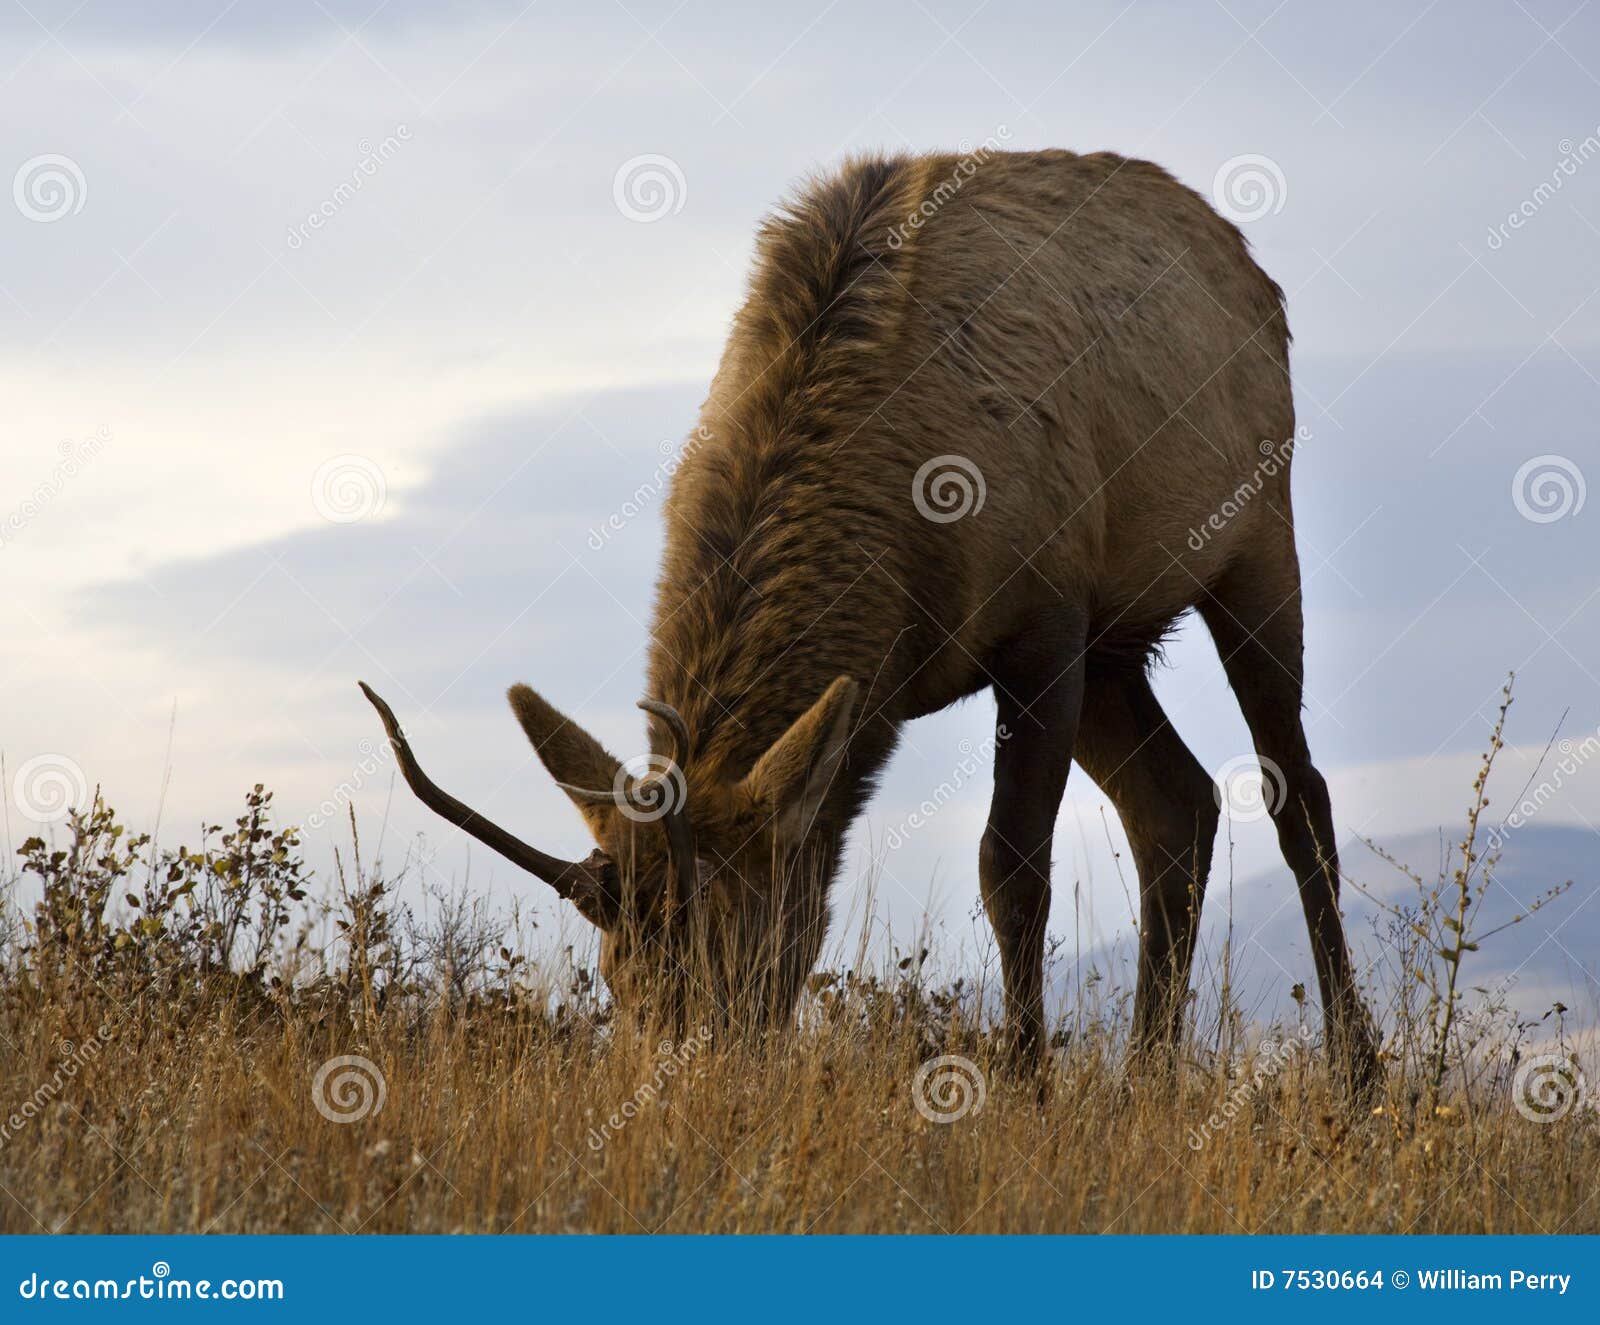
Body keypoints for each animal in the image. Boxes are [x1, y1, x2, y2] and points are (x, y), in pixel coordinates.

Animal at [360, 149, 1381, 1092]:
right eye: (618, 975)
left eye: (744, 958)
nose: (676, 1090)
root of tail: (1252, 273)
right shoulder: (1051, 641)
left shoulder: (1045, 622)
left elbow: (1012, 869)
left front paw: (1025, 1085)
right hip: (1116, 650)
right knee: (1177, 804)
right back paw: (1145, 1079)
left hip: (1254, 543)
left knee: (1298, 794)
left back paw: (1358, 1070)